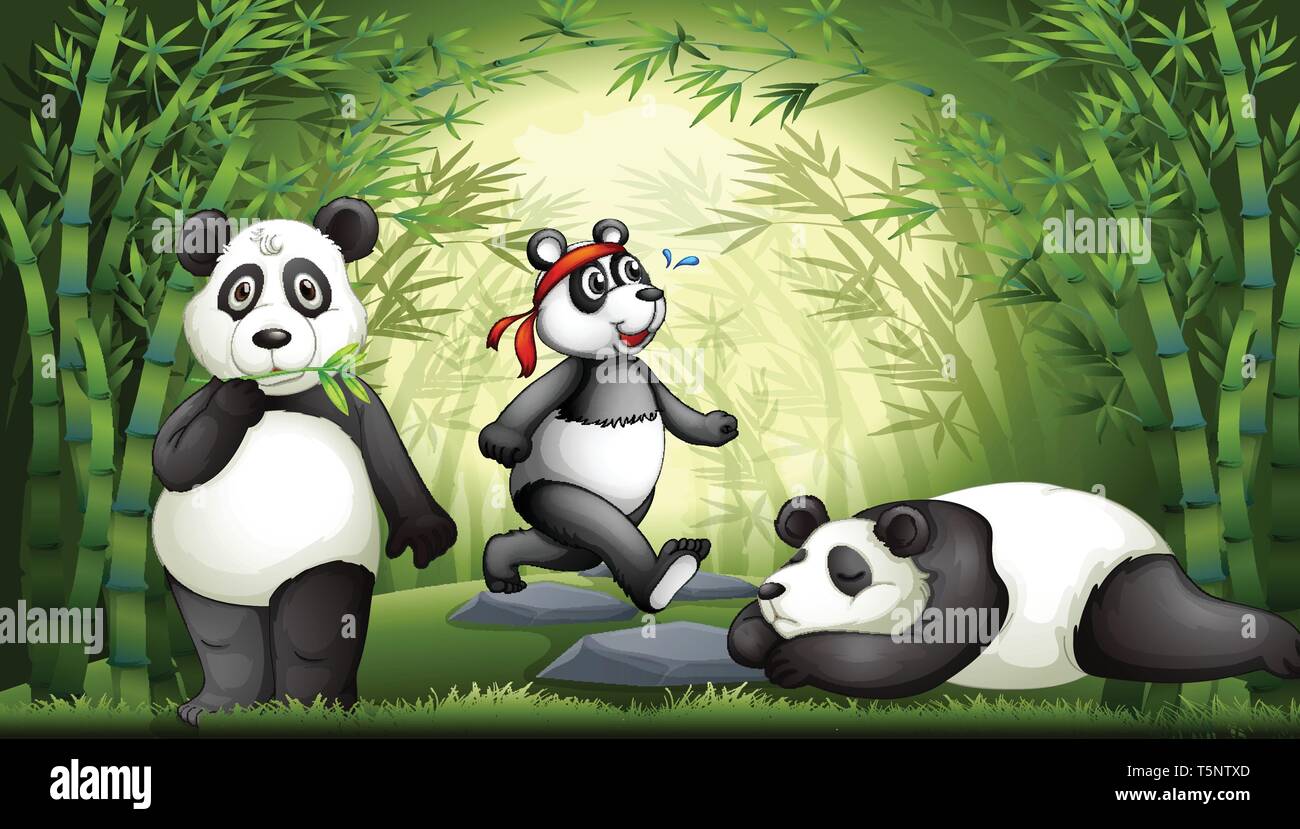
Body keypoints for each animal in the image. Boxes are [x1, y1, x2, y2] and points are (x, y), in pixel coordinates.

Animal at [151, 197, 457, 725]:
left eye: (307, 289)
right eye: (242, 291)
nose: (272, 336)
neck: (280, 395)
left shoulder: (353, 401)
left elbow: (391, 462)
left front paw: (427, 534)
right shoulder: (194, 404)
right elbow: (174, 461)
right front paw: (238, 398)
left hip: (325, 557)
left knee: (314, 626)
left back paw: (309, 707)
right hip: (198, 577)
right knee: (223, 635)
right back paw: (219, 707)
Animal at [478, 219, 739, 613]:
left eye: (633, 270)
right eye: (596, 283)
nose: (649, 293)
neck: (615, 364)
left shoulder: (646, 375)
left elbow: (679, 415)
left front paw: (719, 425)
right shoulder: (575, 372)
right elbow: (533, 397)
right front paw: (501, 442)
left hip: (599, 527)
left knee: (561, 549)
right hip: (548, 493)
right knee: (602, 526)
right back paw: (666, 576)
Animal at [728, 482, 1300, 697]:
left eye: (847, 572)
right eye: (797, 558)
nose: (773, 590)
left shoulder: (969, 573)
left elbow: (910, 655)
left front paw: (794, 661)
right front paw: (755, 638)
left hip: (1114, 586)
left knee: (1167, 633)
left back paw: (1279, 645)